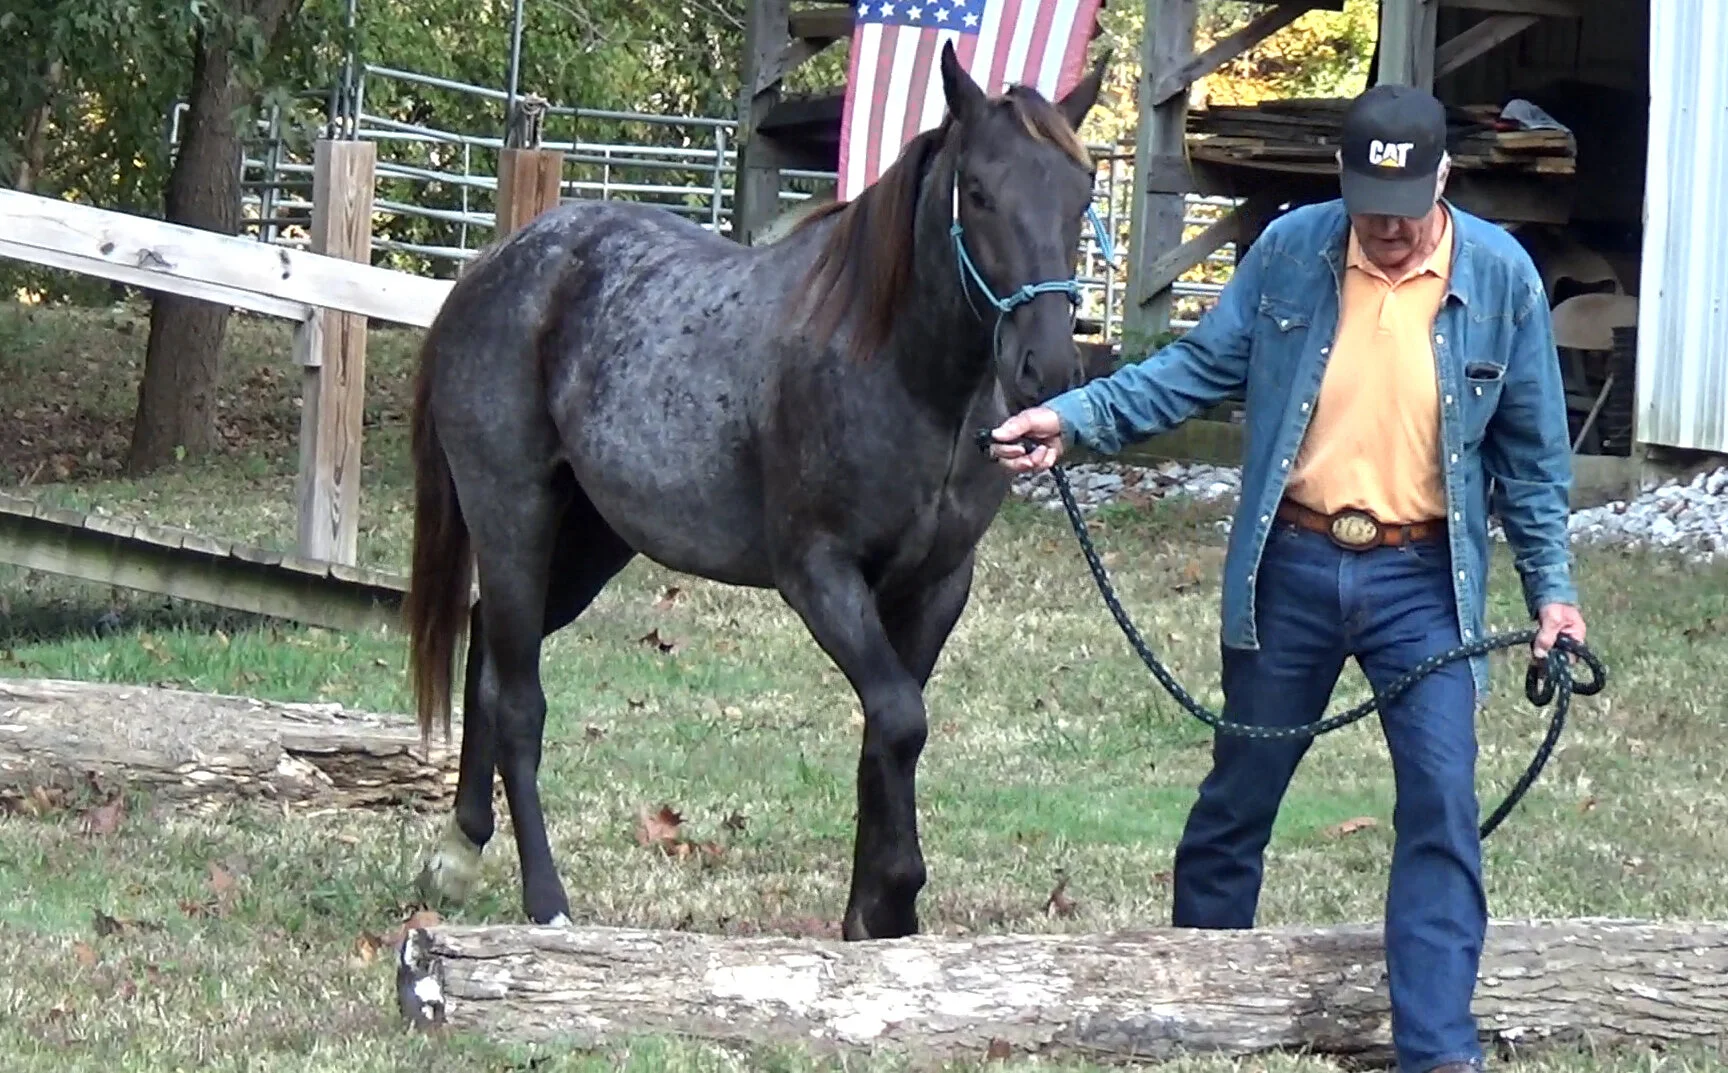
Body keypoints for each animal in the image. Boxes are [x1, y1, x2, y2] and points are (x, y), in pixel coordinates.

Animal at [402, 41, 1110, 941]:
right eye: (980, 192)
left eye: (1081, 194)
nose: (1047, 368)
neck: (902, 374)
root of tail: (494, 265)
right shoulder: (820, 575)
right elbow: (900, 717)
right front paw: (894, 893)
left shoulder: (937, 584)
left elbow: (889, 729)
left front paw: (872, 918)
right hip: (512, 512)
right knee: (518, 697)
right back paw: (546, 902)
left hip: (592, 540)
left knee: (488, 651)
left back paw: (461, 849)